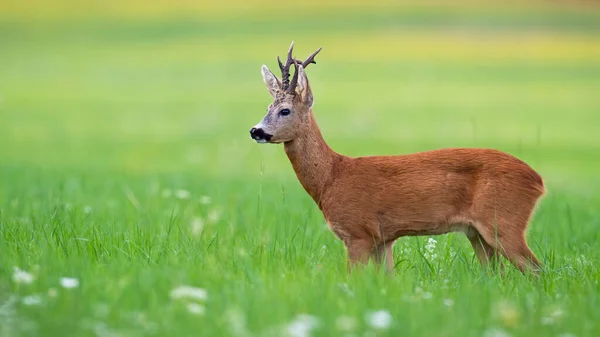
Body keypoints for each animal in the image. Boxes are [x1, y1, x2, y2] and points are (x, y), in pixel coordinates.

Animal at [248, 42, 544, 272]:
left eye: (285, 110)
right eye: (267, 107)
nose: (256, 130)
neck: (331, 178)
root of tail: (539, 181)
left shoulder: (358, 232)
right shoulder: (383, 238)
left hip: (503, 221)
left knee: (537, 269)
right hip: (477, 233)